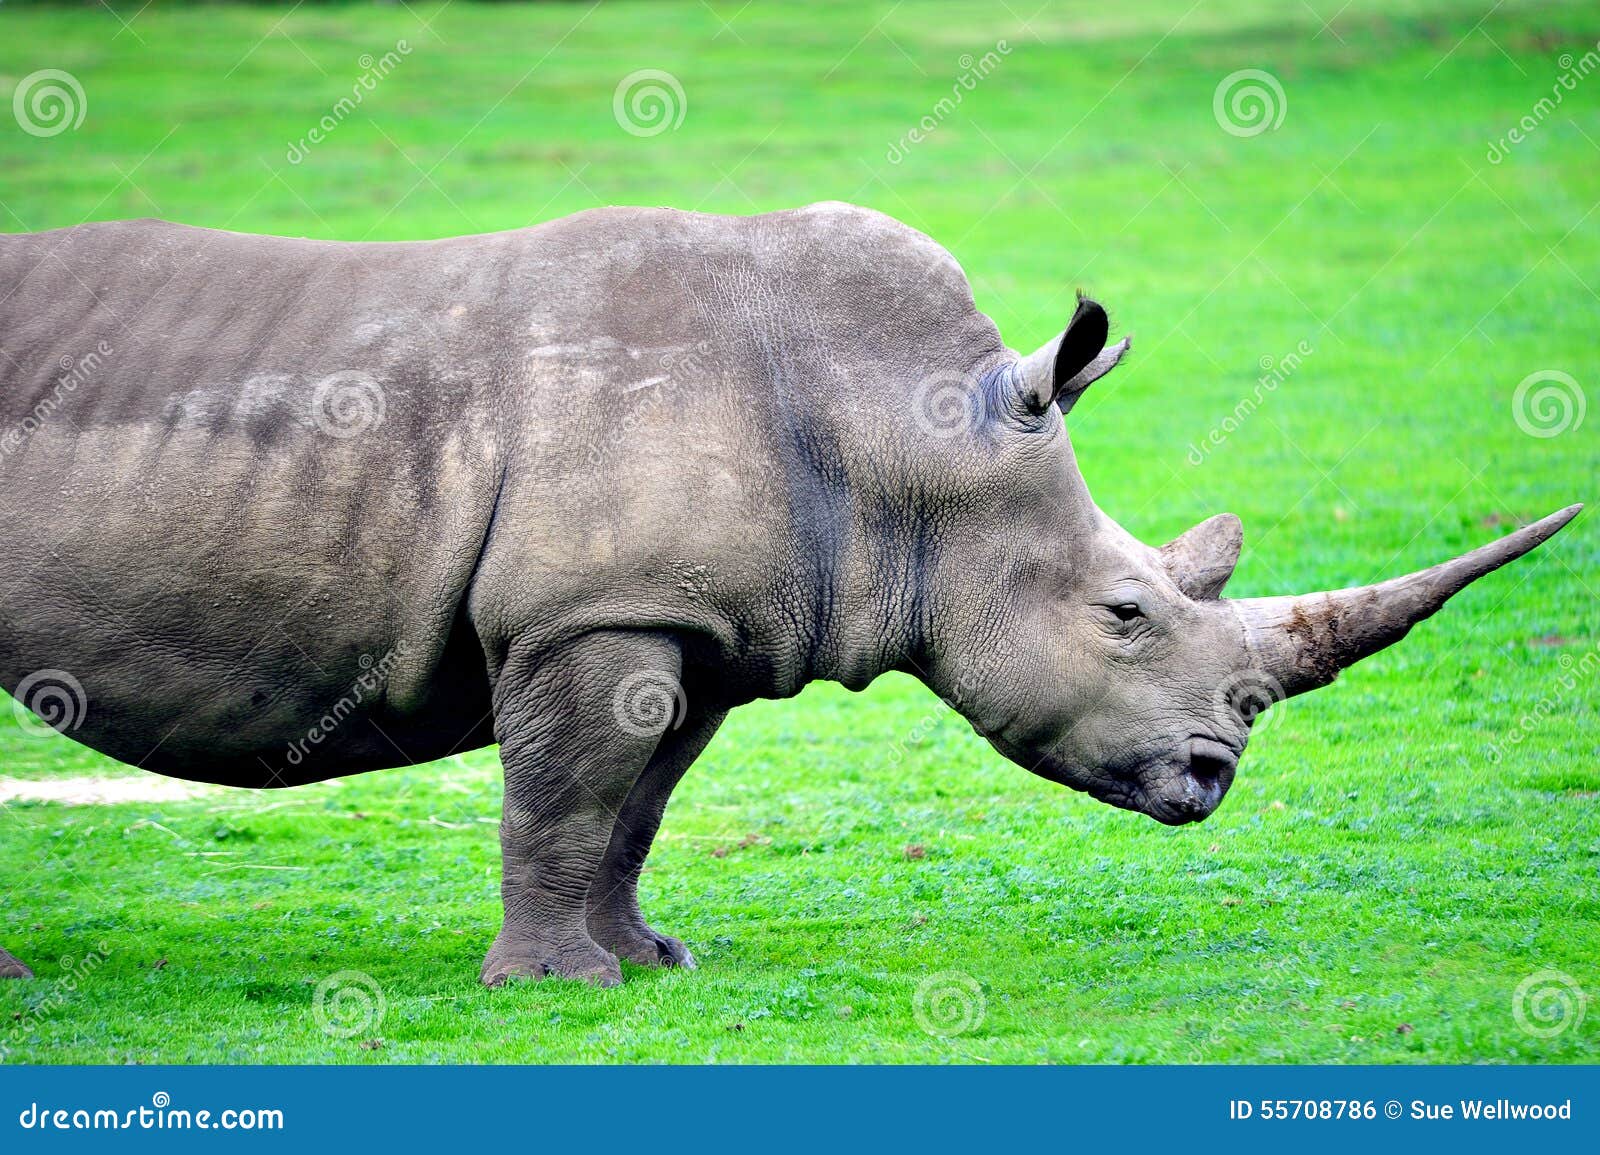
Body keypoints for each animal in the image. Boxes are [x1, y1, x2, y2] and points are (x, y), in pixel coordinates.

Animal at [0, 204, 1580, 986]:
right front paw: (553, 990)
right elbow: (563, 794)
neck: (909, 431)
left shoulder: (692, 619)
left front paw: (650, 962)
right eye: (1123, 613)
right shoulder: (595, 606)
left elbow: (630, 803)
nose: (1212, 776)